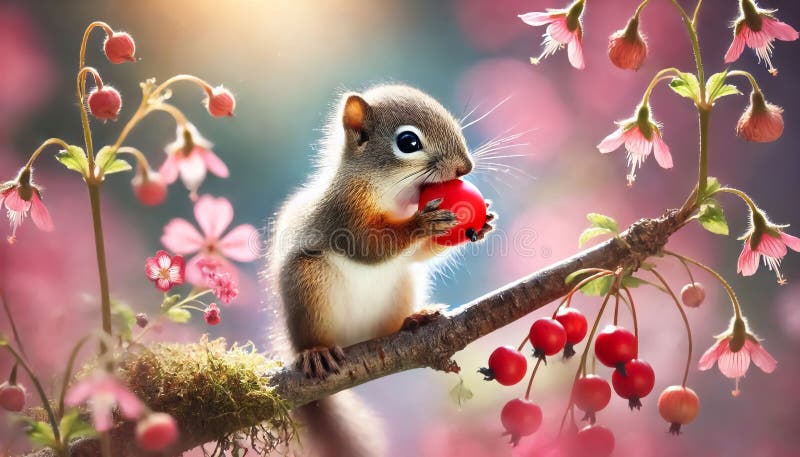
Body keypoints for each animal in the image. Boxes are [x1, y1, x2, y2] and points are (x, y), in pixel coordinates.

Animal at [268, 85, 495, 457]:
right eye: (408, 142)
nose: (465, 168)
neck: (396, 194)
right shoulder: (344, 212)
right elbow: (369, 245)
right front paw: (421, 224)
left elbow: (414, 256)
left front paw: (486, 219)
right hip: (309, 281)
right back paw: (316, 353)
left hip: (401, 286)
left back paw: (414, 319)